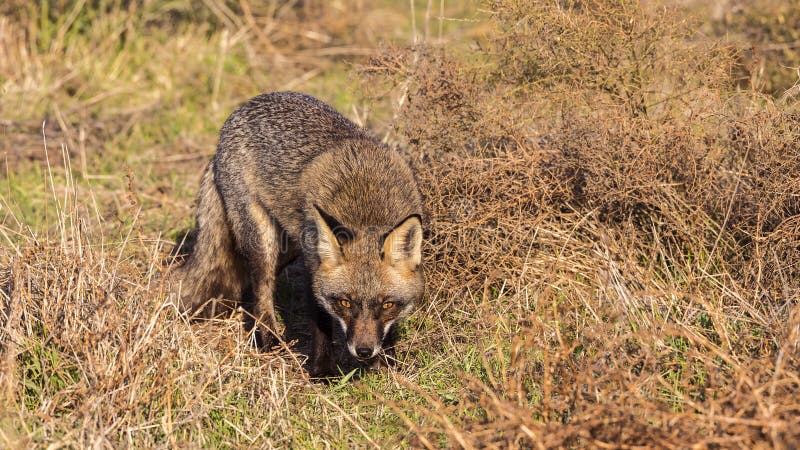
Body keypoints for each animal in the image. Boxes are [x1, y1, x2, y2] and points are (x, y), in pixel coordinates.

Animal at [172, 91, 424, 377]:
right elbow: (320, 319)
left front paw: (386, 362)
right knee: (262, 287)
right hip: (263, 240)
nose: (363, 351)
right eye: (345, 303)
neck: (367, 207)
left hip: (288, 246)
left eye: (387, 305)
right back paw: (267, 338)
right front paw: (322, 370)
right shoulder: (314, 265)